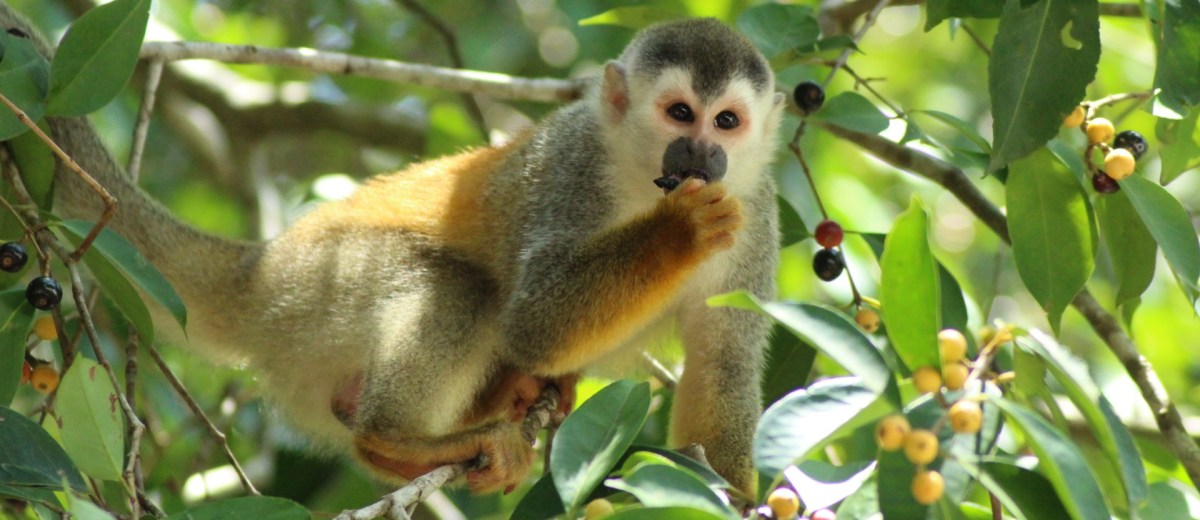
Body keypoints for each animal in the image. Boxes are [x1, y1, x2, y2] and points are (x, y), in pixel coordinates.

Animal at [41, 17, 784, 495]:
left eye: (726, 122)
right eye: (680, 113)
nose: (701, 157)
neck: (639, 180)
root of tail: (260, 266)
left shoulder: (757, 217)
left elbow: (723, 358)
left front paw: (731, 496)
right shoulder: (573, 168)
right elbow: (535, 321)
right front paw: (679, 230)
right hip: (321, 284)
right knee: (464, 288)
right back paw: (396, 439)